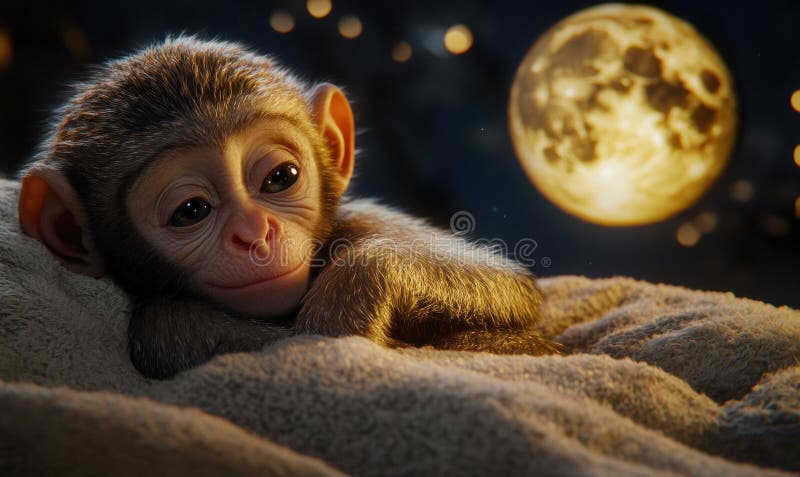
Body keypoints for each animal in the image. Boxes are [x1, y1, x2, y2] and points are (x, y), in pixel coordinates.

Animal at [16, 36, 559, 379]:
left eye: (280, 179)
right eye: (191, 210)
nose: (256, 232)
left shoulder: (367, 220)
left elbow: (510, 285)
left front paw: (352, 291)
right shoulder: (164, 326)